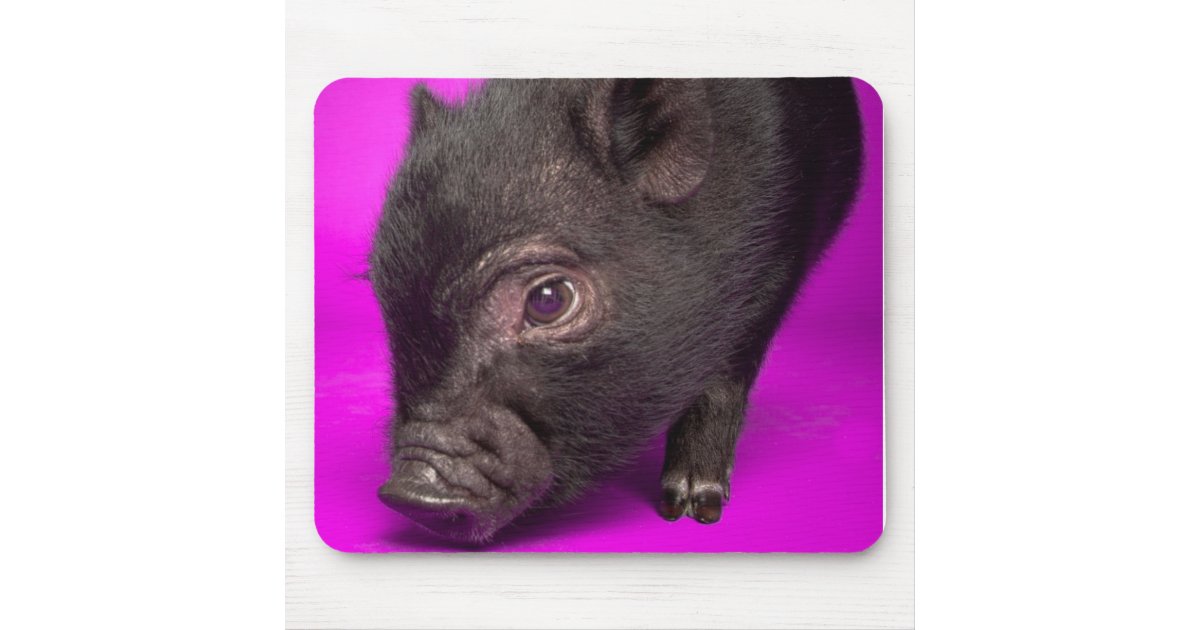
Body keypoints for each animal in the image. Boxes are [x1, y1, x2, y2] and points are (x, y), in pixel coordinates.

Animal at [370, 78, 863, 543]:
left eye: (549, 299)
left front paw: (690, 509)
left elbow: (721, 385)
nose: (408, 491)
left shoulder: (773, 274)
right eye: (386, 291)